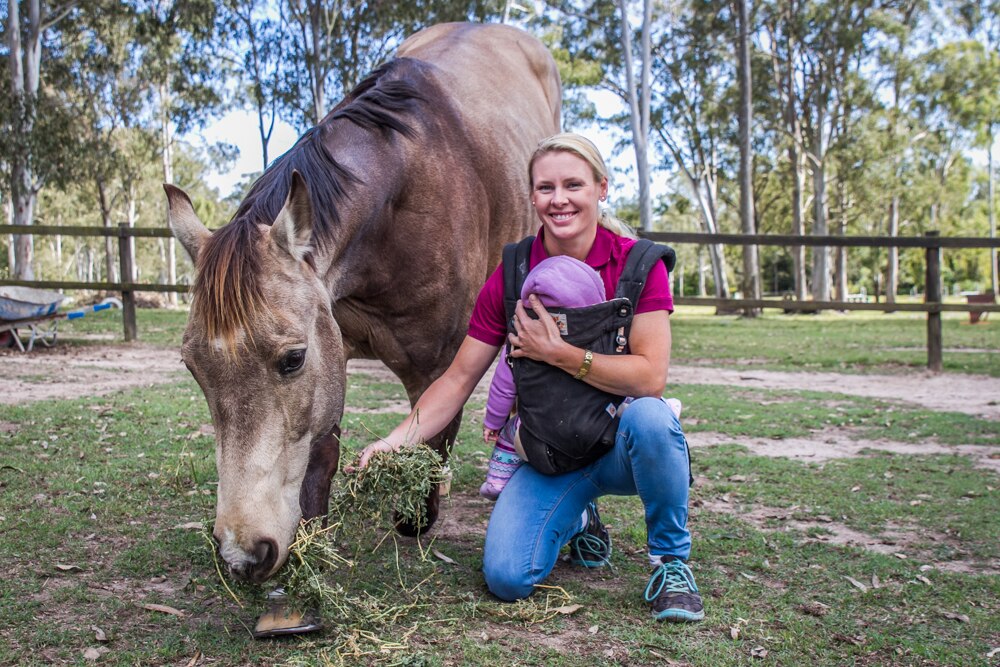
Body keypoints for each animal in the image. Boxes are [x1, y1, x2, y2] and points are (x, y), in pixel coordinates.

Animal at [164, 22, 561, 583]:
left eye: (292, 359)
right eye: (192, 366)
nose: (242, 555)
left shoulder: (438, 364)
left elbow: (432, 435)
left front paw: (415, 516)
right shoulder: (334, 347)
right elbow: (321, 451)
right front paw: (313, 534)